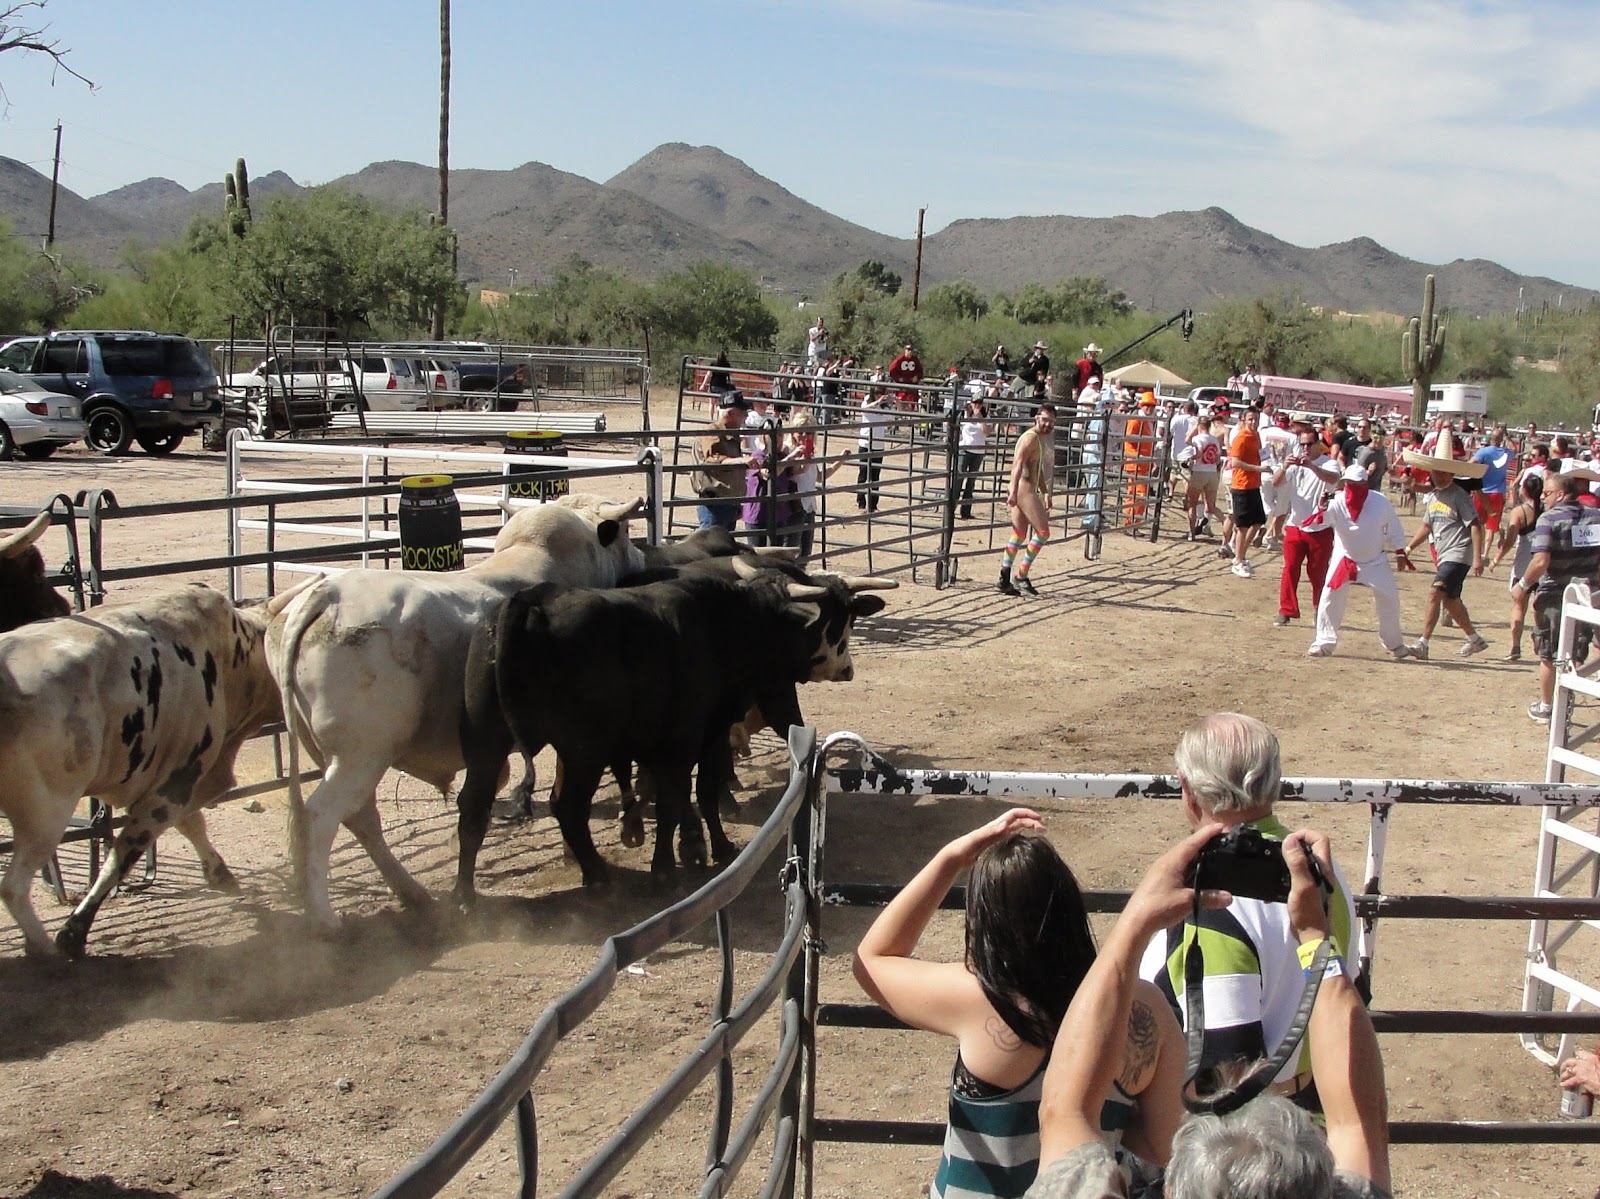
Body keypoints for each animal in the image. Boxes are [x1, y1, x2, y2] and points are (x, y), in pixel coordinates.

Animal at [0, 583, 287, 957]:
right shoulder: (174, 783)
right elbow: (123, 854)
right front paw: (74, 932)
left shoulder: (174, 781)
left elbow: (191, 824)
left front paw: (220, 873)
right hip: (45, 816)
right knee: (13, 887)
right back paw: (45, 947)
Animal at [269, 493, 648, 931]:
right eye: (626, 530)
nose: (641, 557)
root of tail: (327, 593)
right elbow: (563, 792)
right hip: (361, 756)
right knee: (320, 818)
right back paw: (325, 918)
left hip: (332, 755)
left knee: (362, 820)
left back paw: (412, 893)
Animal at [451, 558, 892, 903]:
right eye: (839, 619)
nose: (847, 669)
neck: (730, 626)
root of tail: (528, 603)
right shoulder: (687, 740)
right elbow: (679, 798)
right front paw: (671, 866)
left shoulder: (707, 733)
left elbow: (698, 793)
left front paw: (705, 845)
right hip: (582, 752)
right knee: (568, 807)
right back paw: (598, 876)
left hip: (487, 742)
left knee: (473, 806)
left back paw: (464, 896)